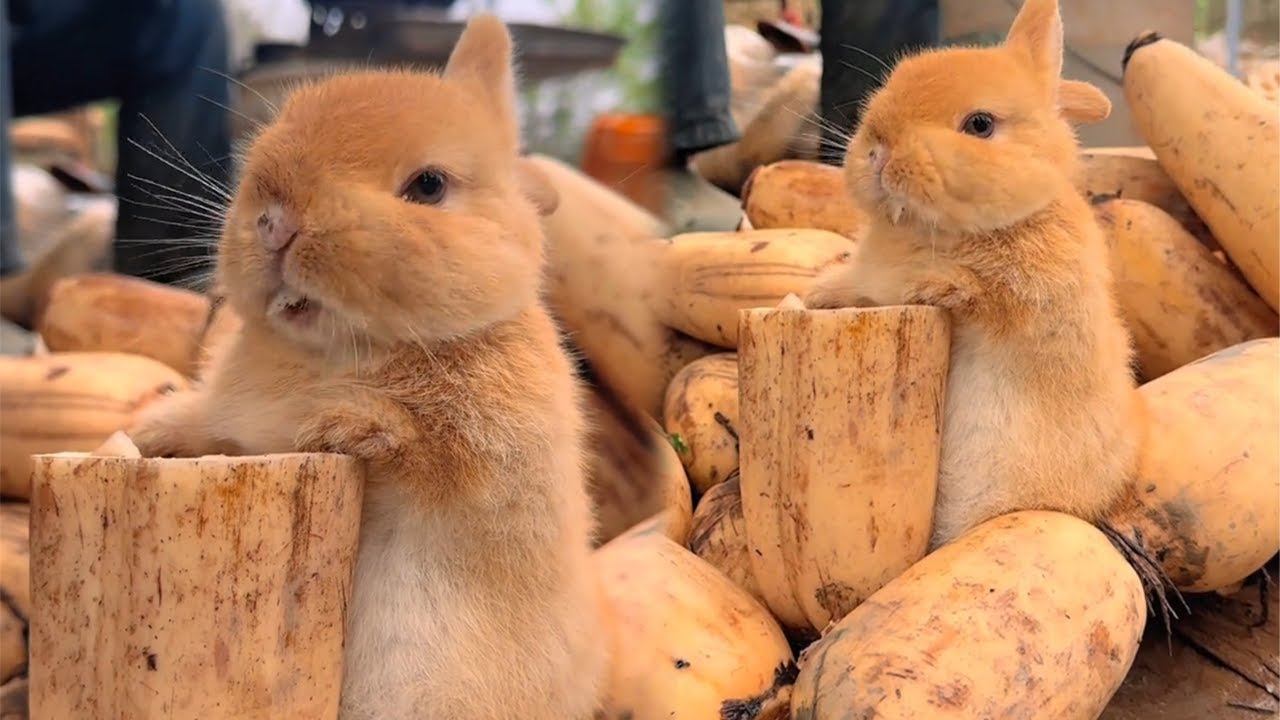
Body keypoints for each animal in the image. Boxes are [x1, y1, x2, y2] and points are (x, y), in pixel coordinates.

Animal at [128, 14, 608, 720]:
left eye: (430, 185)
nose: (273, 222)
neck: (340, 352)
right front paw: (152, 429)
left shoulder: (487, 474)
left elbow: (422, 453)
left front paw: (341, 423)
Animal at [804, 0, 1144, 550]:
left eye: (980, 124)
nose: (877, 152)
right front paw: (818, 292)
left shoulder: (1033, 309)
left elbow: (981, 294)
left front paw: (929, 283)